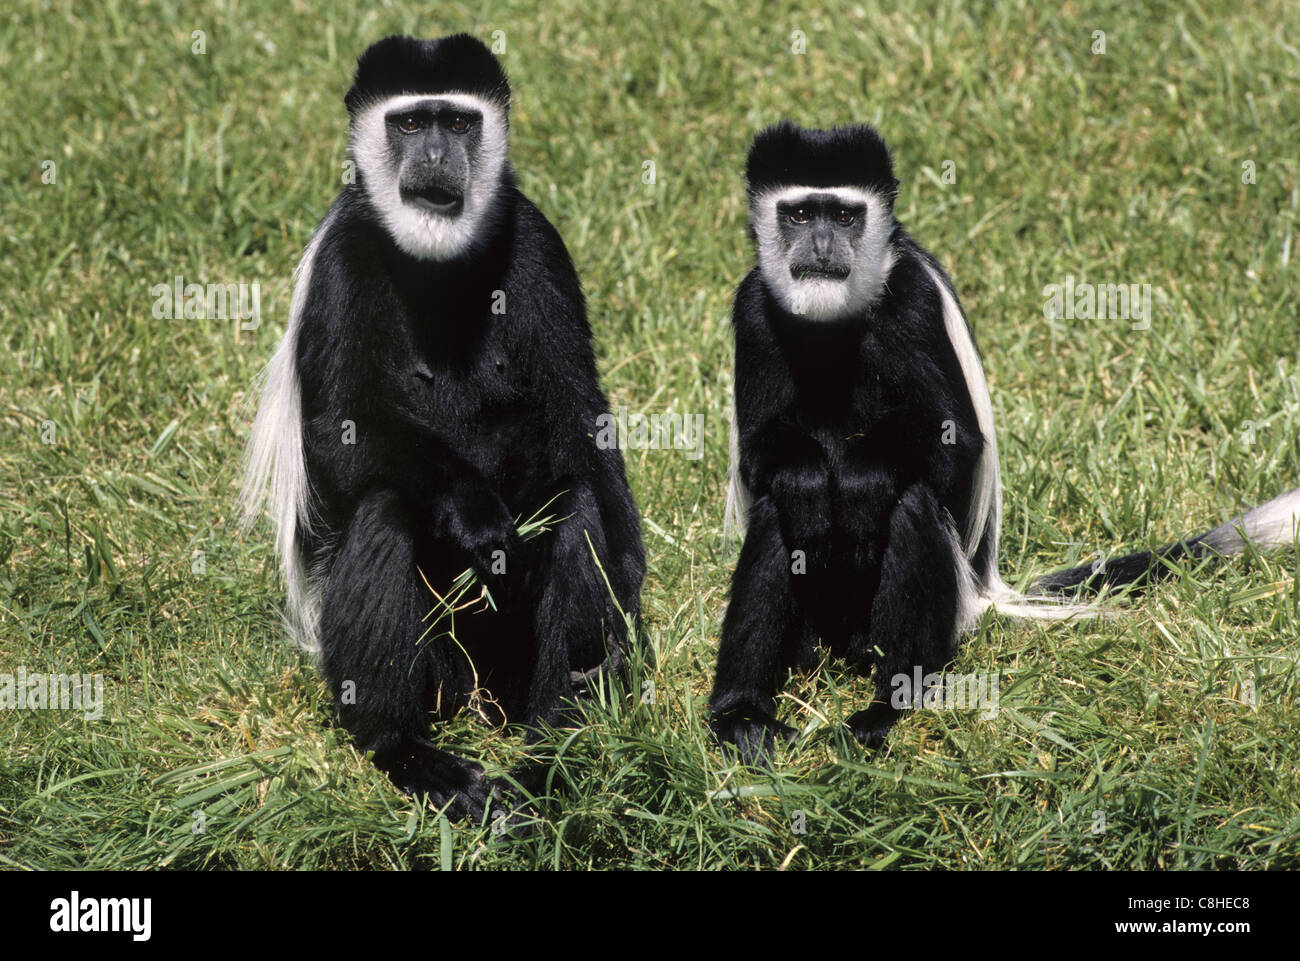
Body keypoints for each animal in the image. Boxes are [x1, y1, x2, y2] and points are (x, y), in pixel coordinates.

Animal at [241, 34, 645, 819]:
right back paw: (415, 759)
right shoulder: (342, 259)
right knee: (386, 511)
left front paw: (627, 603)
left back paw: (552, 752)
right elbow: (337, 436)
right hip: (437, 669)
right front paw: (474, 512)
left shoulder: (535, 242)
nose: (433, 155)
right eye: (407, 123)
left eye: (457, 122)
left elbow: (580, 420)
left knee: (575, 506)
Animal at [712, 121, 1300, 765]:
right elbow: (761, 460)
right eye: (798, 214)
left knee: (911, 507)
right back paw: (743, 717)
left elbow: (956, 445)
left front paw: (862, 478)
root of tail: (984, 591)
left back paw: (887, 706)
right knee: (780, 515)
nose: (820, 246)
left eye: (844, 216)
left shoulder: (914, 299)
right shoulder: (753, 308)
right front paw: (811, 478)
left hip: (941, 605)